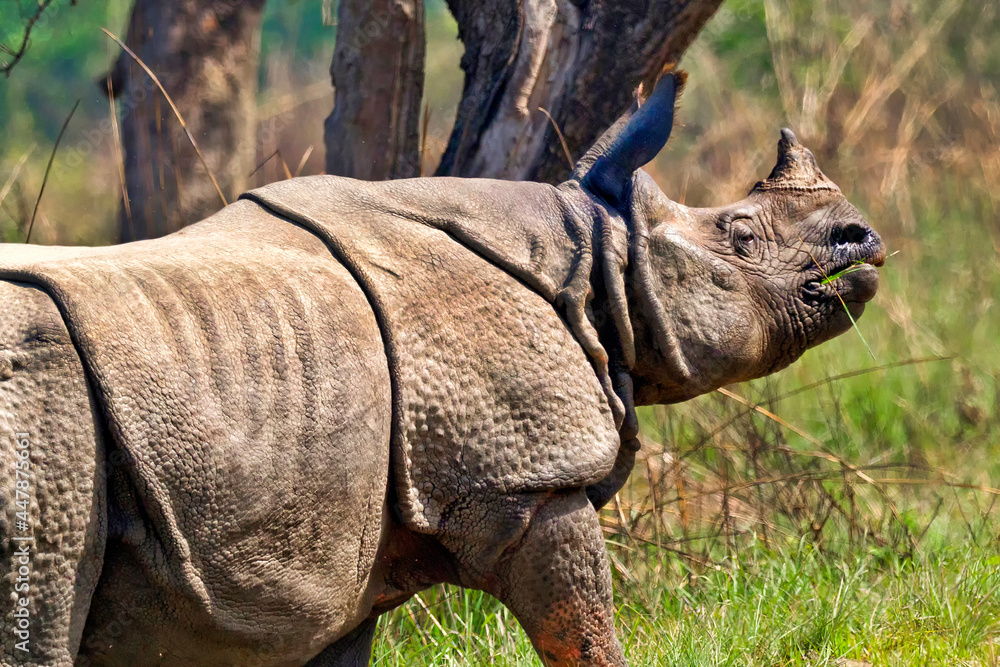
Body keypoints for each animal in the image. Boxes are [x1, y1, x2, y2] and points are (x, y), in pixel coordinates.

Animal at [0, 71, 884, 666]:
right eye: (740, 235)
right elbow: (584, 629)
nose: (863, 239)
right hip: (42, 408)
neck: (594, 251)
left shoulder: (332, 559)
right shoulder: (522, 481)